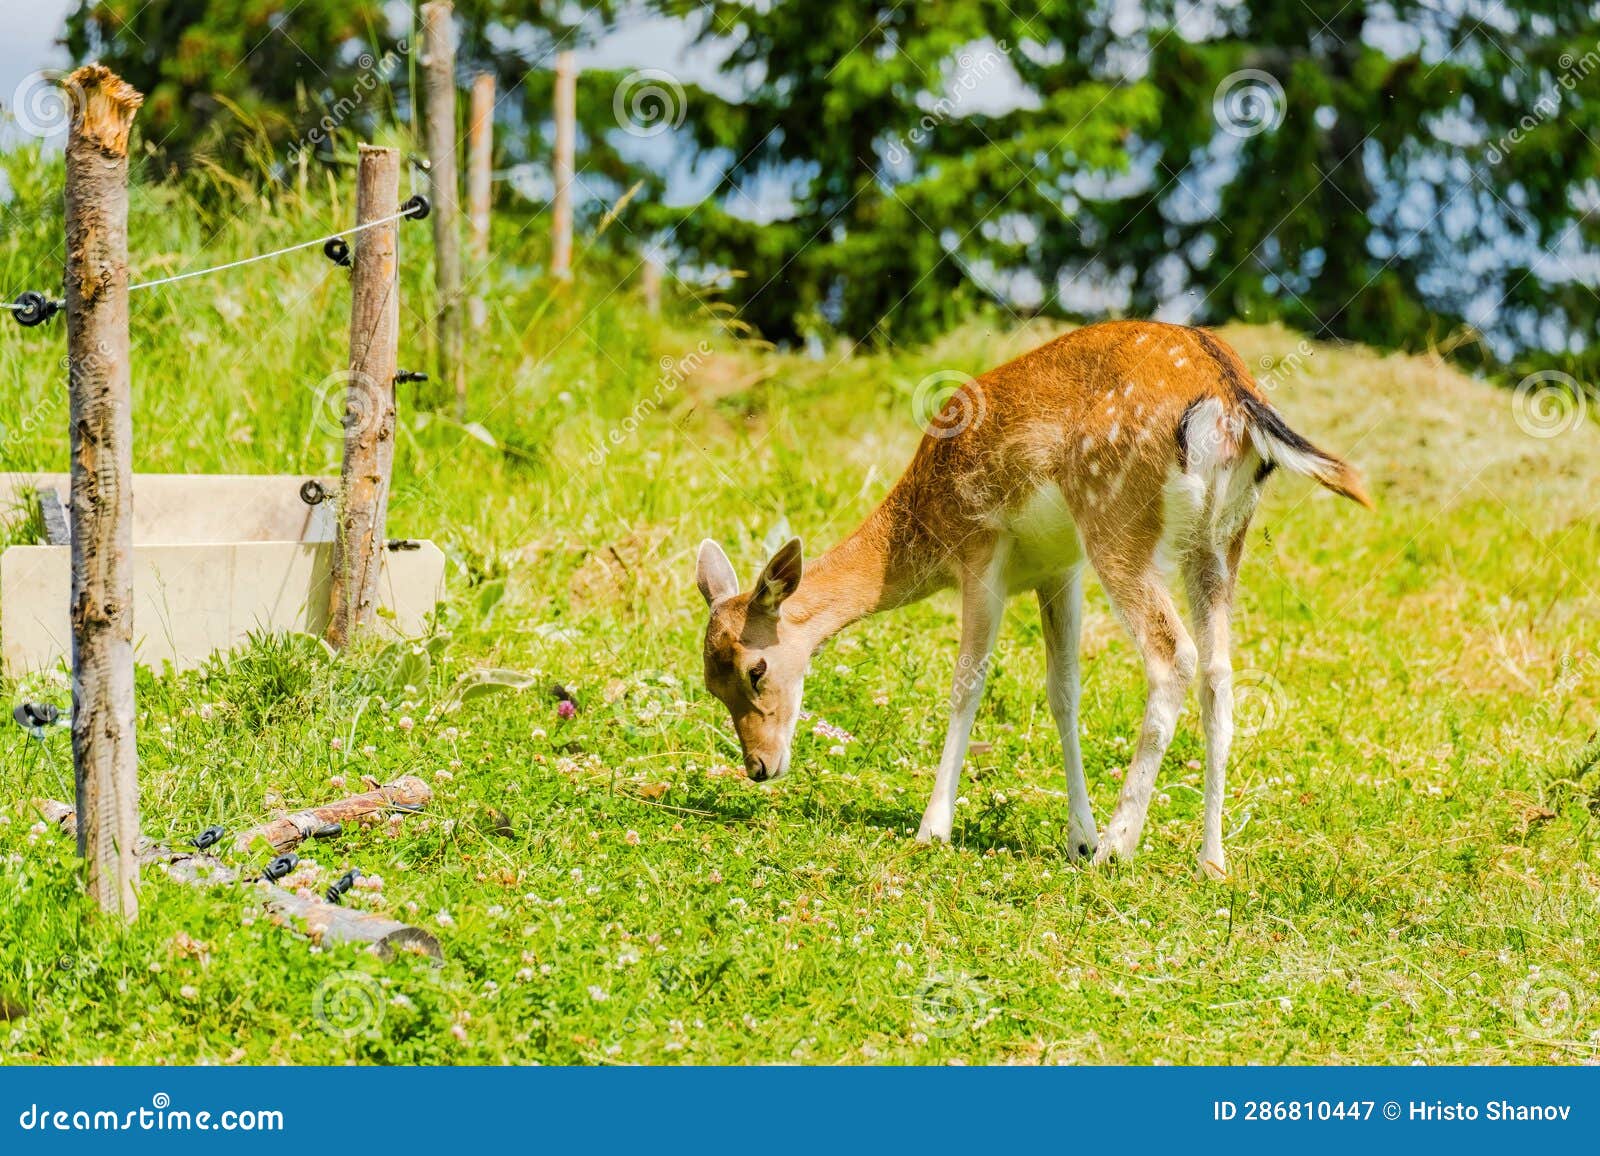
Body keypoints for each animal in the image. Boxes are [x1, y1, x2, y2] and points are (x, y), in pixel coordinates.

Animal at [694, 320, 1370, 878]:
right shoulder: (1058, 570)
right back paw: (1210, 860)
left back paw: (1117, 849)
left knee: (1172, 656)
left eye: (755, 669)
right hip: (1221, 541)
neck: (922, 528)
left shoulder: (981, 554)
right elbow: (1063, 693)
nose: (758, 766)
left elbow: (966, 684)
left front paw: (933, 829)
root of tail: (1231, 396)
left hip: (1116, 522)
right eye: (710, 684)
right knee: (1219, 675)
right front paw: (1076, 835)